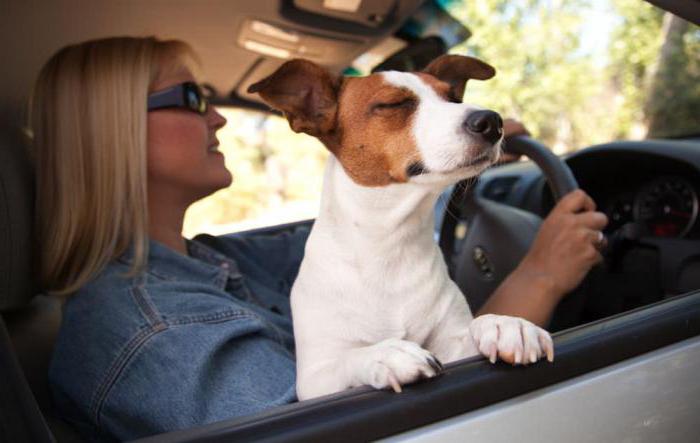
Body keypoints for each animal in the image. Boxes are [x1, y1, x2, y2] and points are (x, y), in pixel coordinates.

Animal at [249, 55, 556, 402]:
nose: (492, 121)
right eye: (394, 104)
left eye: (454, 97)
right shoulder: (314, 382)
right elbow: (348, 358)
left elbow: (475, 331)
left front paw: (505, 325)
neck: (389, 244)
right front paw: (384, 354)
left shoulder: (455, 349)